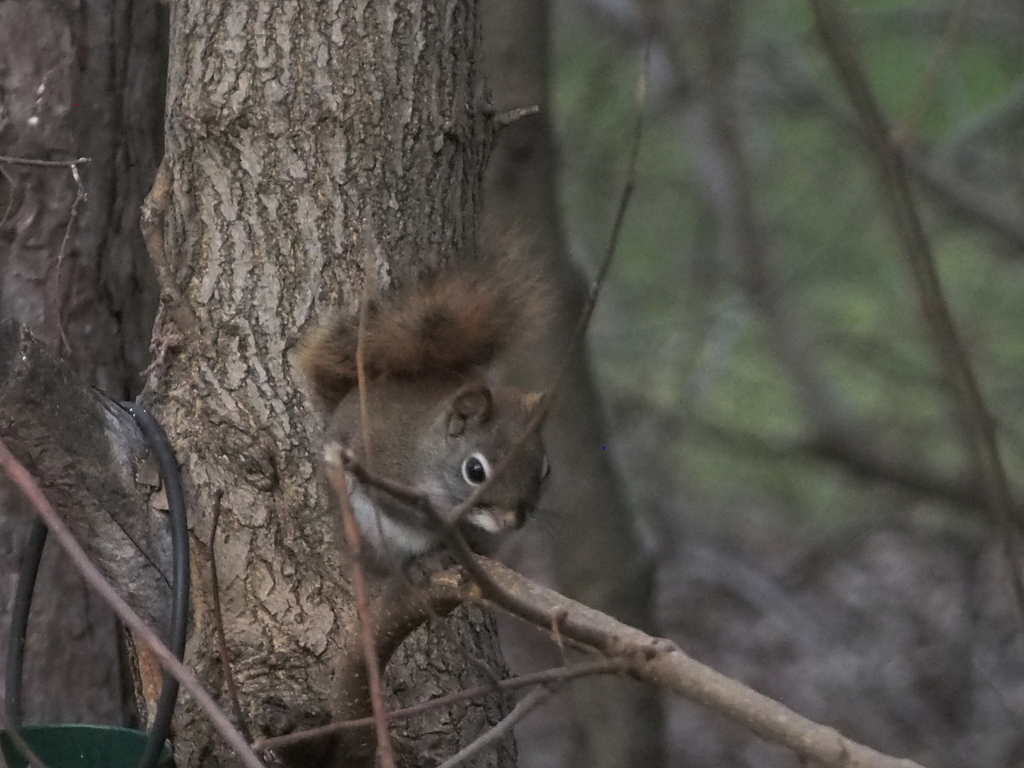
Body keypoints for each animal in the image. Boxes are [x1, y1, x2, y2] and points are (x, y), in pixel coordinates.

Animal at [298, 241, 551, 573]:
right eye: (475, 471)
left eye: (545, 469)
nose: (511, 522)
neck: (429, 454)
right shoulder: (385, 467)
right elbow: (400, 509)